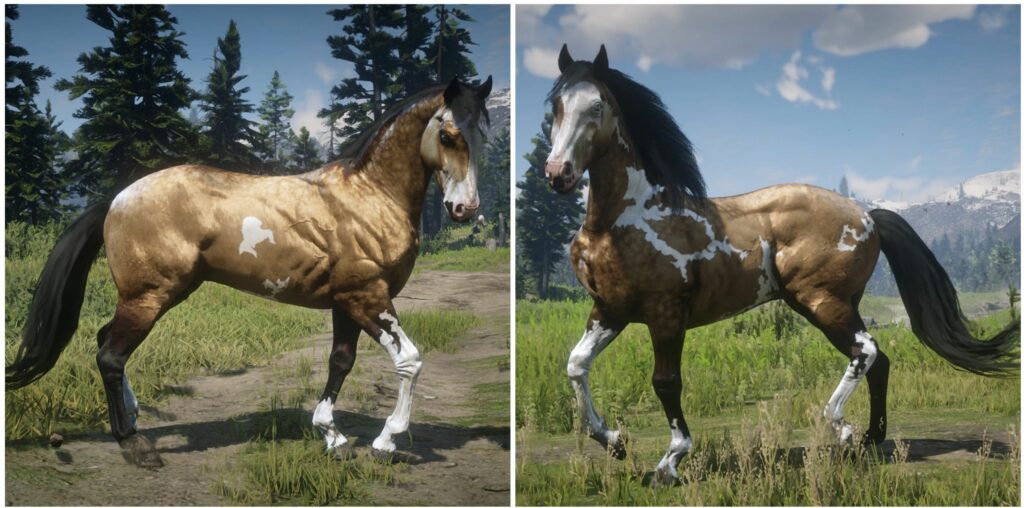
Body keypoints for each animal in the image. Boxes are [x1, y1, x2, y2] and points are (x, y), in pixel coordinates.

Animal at [7, 76, 493, 468]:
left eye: (482, 134)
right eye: (447, 133)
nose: (465, 208)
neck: (369, 197)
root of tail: (118, 198)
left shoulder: (346, 302)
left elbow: (340, 362)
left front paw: (332, 437)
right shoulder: (368, 297)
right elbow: (409, 360)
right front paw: (385, 441)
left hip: (153, 295)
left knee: (106, 341)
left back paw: (134, 414)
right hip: (149, 296)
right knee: (109, 355)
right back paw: (134, 444)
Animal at [544, 44, 1018, 485]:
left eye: (597, 105)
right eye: (556, 105)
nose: (558, 174)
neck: (622, 220)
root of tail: (867, 214)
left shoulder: (666, 314)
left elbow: (665, 382)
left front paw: (669, 463)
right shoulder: (610, 310)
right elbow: (575, 365)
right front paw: (614, 442)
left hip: (822, 301)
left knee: (866, 350)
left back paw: (843, 430)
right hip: (836, 303)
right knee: (876, 360)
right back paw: (869, 438)